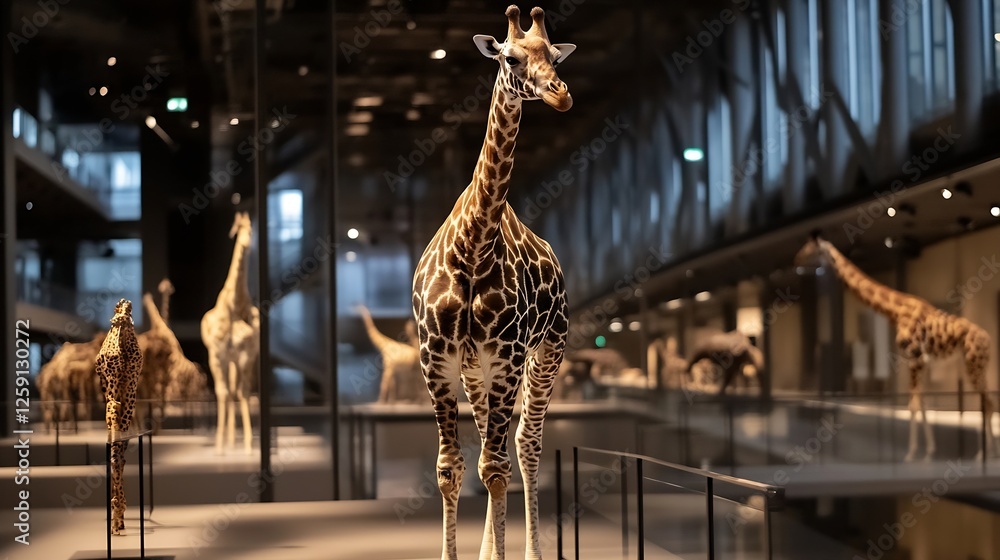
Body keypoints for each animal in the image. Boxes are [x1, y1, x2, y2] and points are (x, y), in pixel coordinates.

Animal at [411, 6, 576, 559]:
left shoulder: (507, 355)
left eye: (555, 57)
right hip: (474, 371)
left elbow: (496, 466)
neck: (474, 246)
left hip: (547, 350)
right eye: (510, 58)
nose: (561, 94)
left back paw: (533, 551)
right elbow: (451, 467)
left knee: (524, 442)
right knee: (491, 441)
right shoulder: (437, 359)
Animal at [795, 234, 998, 461]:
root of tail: (989, 340)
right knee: (989, 403)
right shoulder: (920, 361)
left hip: (973, 364)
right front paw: (929, 451)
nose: (796, 260)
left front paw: (910, 454)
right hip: (975, 365)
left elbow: (913, 405)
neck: (896, 310)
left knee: (988, 403)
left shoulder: (915, 357)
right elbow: (923, 404)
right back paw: (989, 453)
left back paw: (982, 455)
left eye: (810, 248)